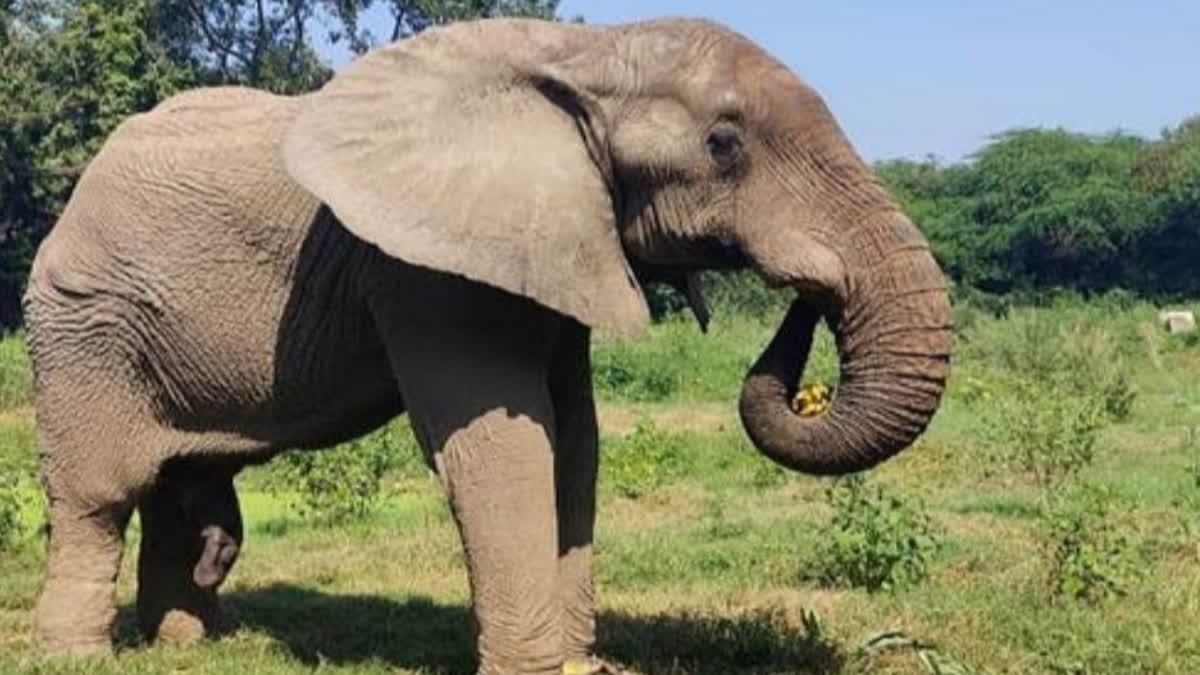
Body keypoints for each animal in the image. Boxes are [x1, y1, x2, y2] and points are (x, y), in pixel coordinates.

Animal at [21, 16, 952, 675]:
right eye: (723, 145)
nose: (810, 294)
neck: (587, 54)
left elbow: (576, 439)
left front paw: (584, 663)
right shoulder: (422, 269)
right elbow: (503, 440)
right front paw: (539, 669)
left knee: (174, 483)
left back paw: (193, 642)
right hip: (83, 326)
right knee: (101, 491)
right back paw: (79, 655)